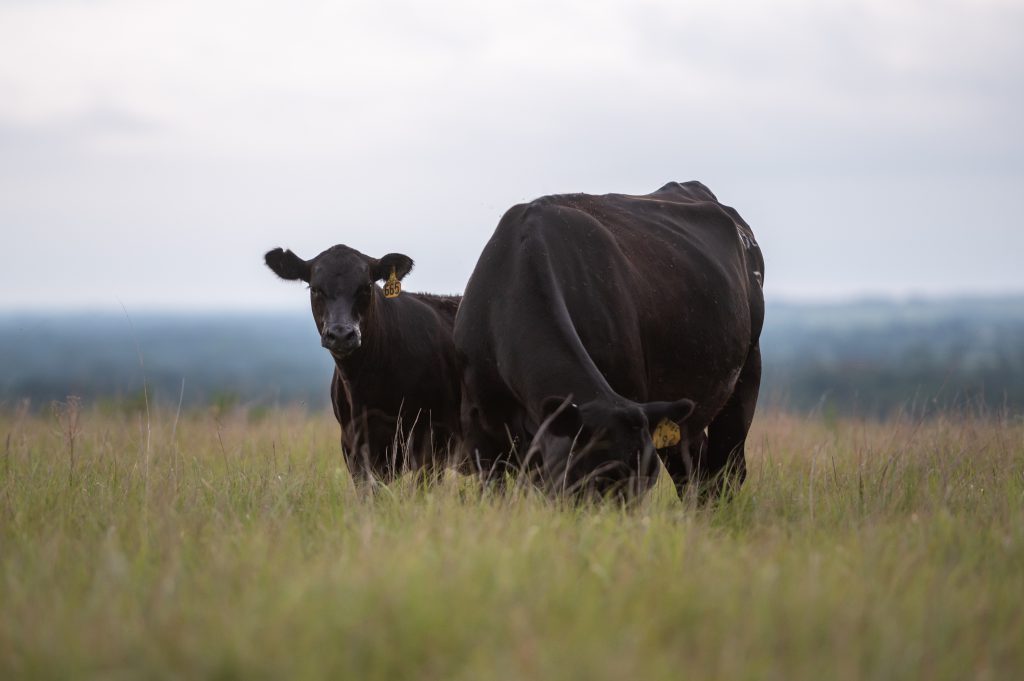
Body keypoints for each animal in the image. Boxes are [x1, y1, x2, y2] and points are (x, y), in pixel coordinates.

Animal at [454, 181, 764, 500]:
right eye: (585, 475)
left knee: (726, 470)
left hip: (747, 370)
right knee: (693, 470)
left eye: (646, 481)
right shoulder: (484, 435)